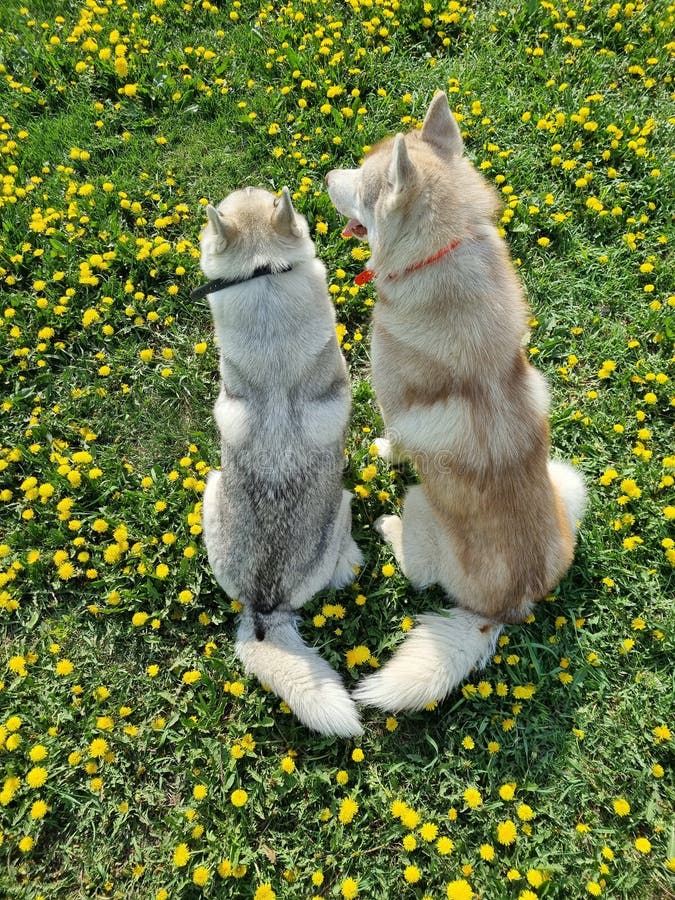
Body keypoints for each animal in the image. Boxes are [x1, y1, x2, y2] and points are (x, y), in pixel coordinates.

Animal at [326, 93, 587, 713]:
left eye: (362, 184)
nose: (323, 177)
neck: (441, 255)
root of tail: (506, 612)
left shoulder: (394, 409)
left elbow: (396, 439)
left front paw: (382, 451)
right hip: (568, 480)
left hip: (422, 503)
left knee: (416, 569)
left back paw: (389, 527)